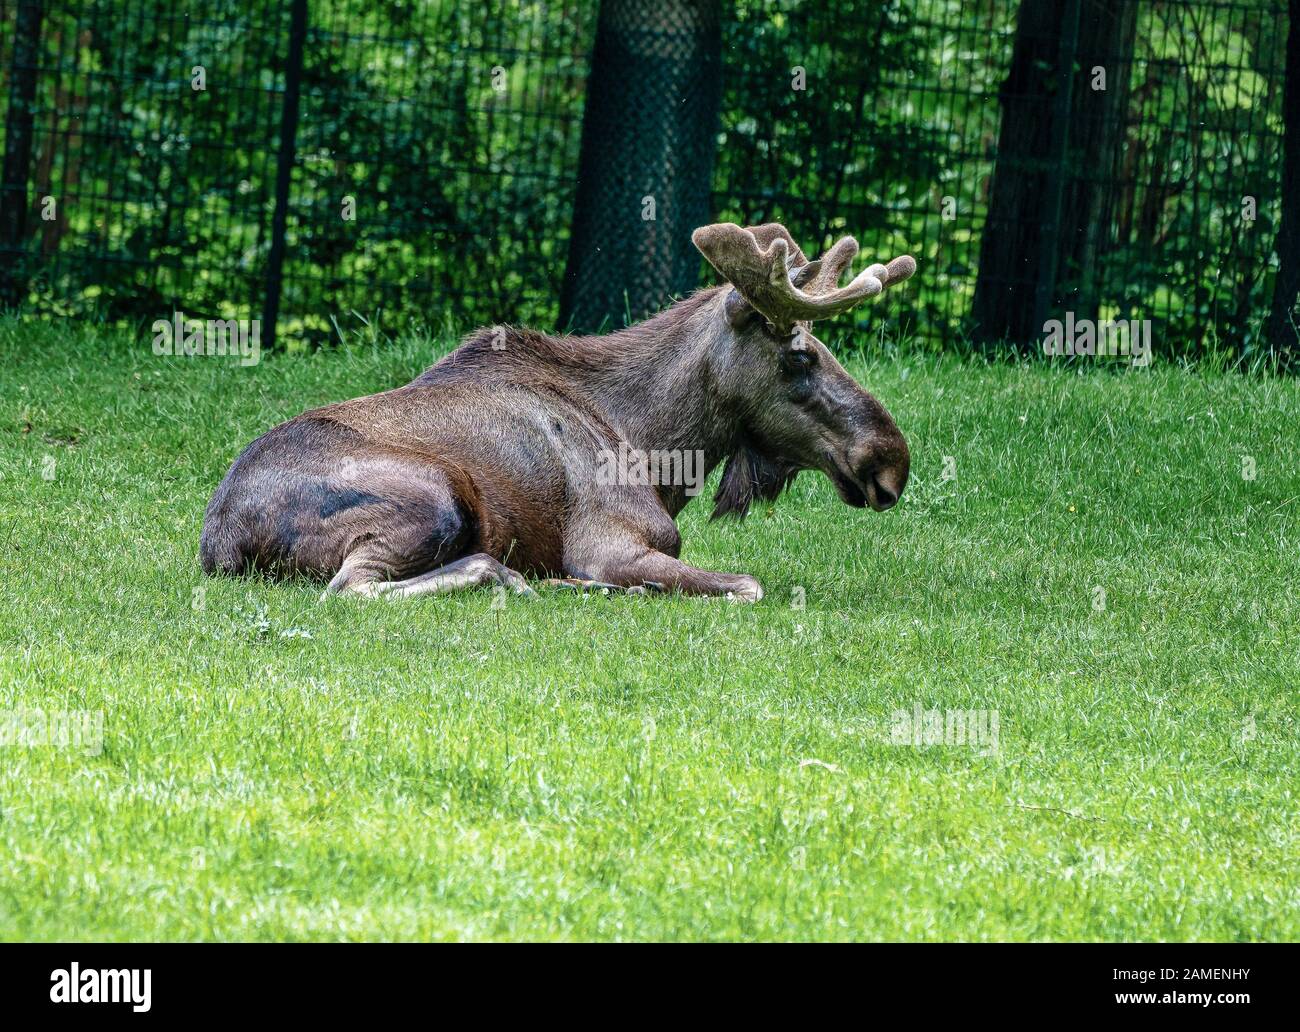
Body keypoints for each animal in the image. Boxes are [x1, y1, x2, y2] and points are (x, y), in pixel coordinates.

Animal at [199, 222, 915, 603]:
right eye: (799, 355)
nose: (891, 461)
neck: (658, 450)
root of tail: (218, 544)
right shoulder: (613, 544)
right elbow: (747, 584)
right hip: (434, 499)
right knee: (353, 587)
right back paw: (508, 575)